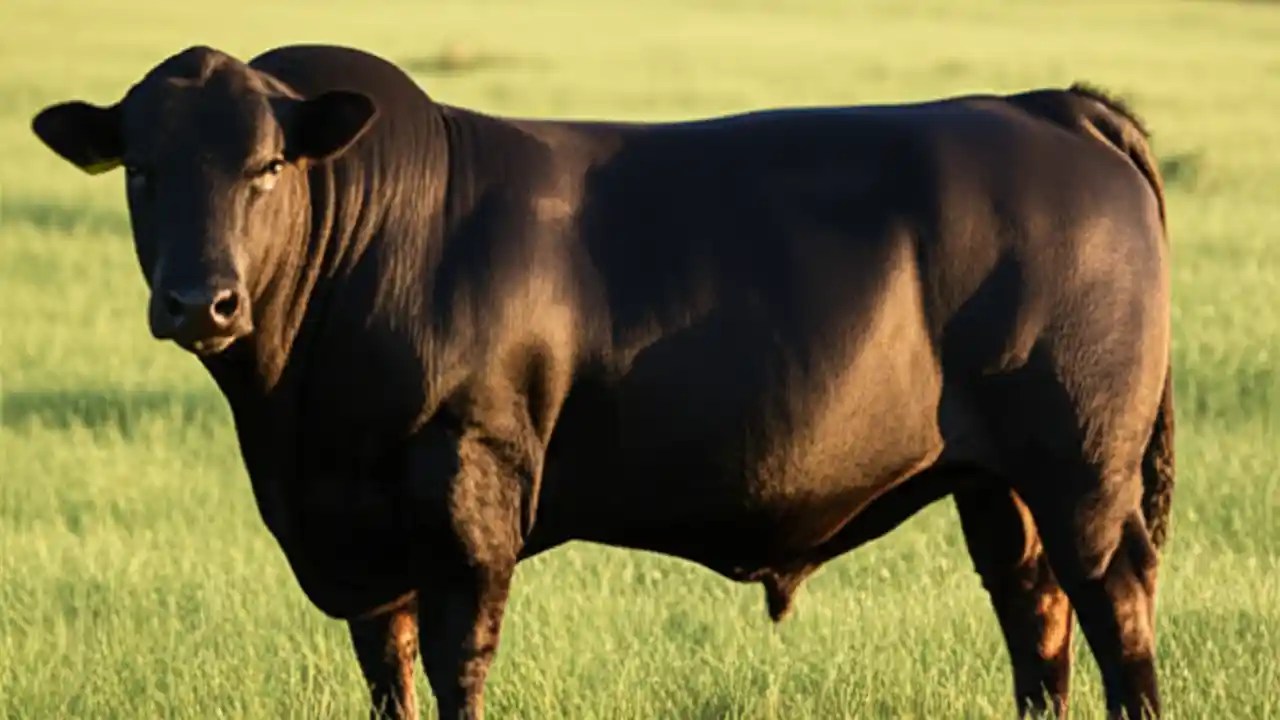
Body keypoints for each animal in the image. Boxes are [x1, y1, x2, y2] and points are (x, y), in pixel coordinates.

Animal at [31, 44, 1174, 719]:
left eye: (267, 169)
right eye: (142, 170)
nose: (201, 302)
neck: (298, 432)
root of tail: (1047, 107)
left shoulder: (469, 493)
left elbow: (456, 665)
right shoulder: (361, 541)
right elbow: (388, 674)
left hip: (1083, 469)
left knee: (1117, 615)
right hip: (1000, 485)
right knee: (1035, 617)